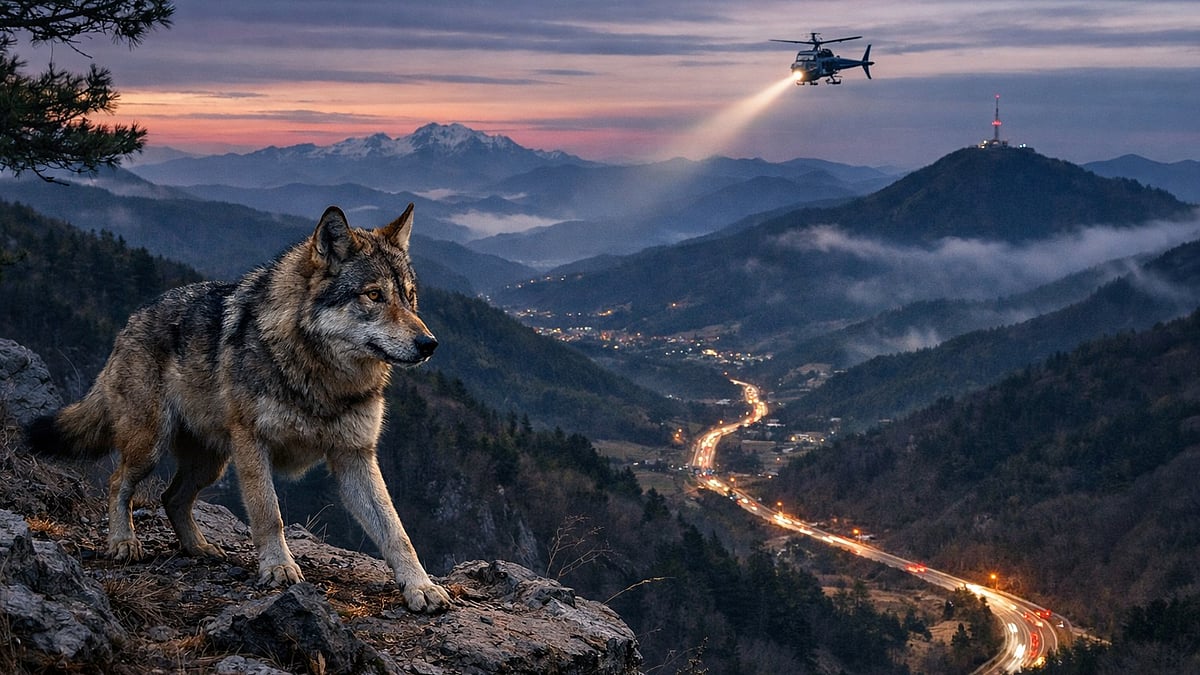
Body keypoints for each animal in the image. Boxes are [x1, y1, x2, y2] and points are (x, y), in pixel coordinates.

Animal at [27, 204, 451, 613]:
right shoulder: (252, 443)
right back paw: (123, 542)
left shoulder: (355, 457)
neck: (320, 375)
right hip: (151, 445)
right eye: (374, 295)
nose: (429, 344)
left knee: (171, 497)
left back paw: (199, 548)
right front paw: (278, 567)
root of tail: (132, 320)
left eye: (409, 296)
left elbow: (396, 531)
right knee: (119, 483)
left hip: (211, 463)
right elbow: (269, 513)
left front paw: (421, 587)